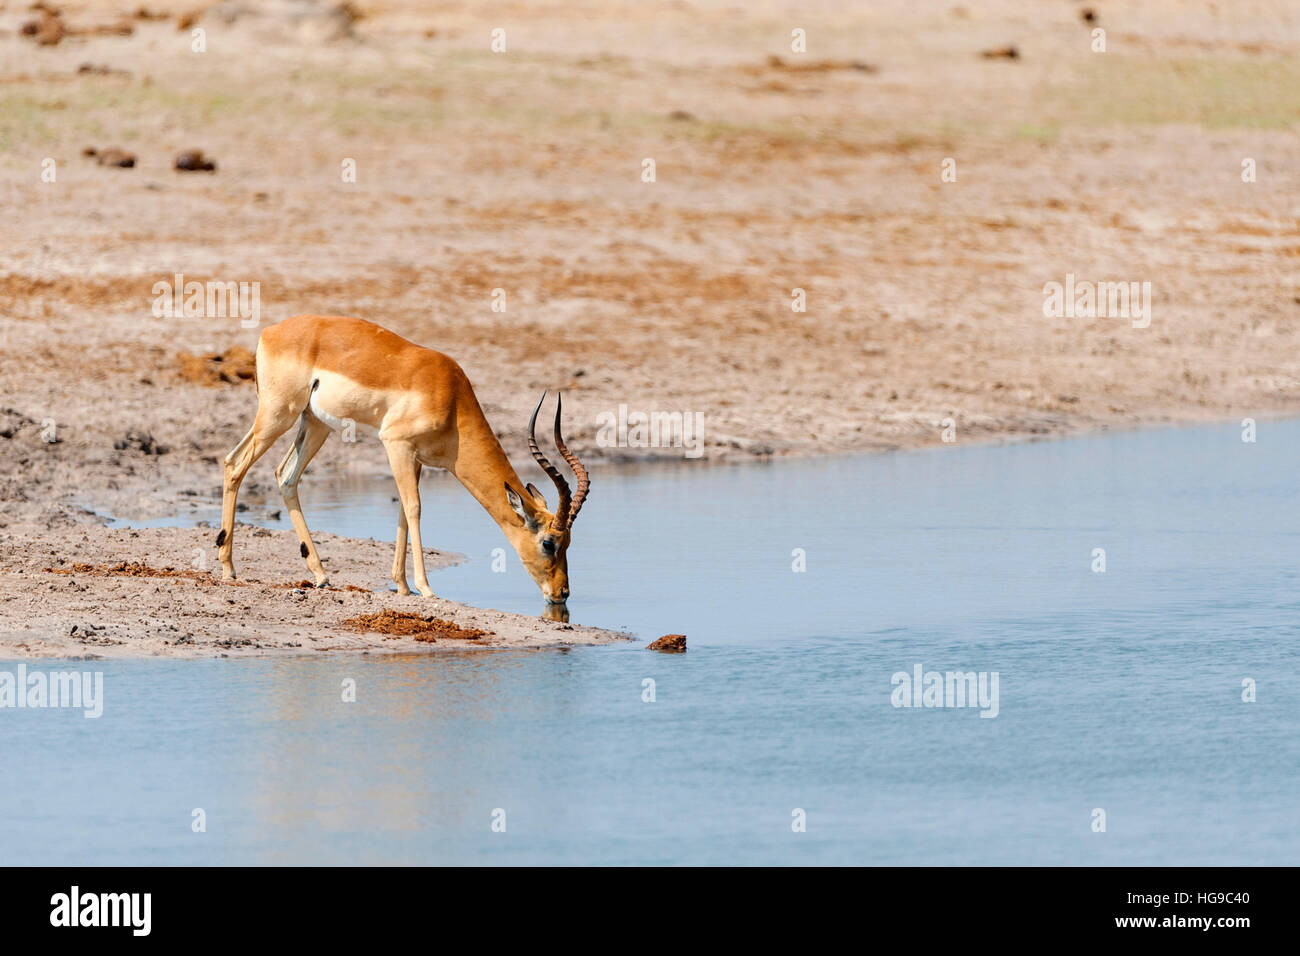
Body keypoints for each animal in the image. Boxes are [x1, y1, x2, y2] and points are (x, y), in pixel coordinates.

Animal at [216, 315, 589, 607]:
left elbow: (402, 513)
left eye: (570, 542)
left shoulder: (416, 457)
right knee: (235, 463)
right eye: (549, 543)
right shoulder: (396, 445)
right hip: (278, 415)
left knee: (285, 476)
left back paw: (320, 574)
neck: (451, 398)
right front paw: (425, 588)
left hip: (315, 424)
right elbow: (414, 508)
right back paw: (229, 567)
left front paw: (403, 586)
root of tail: (271, 331)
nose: (562, 593)